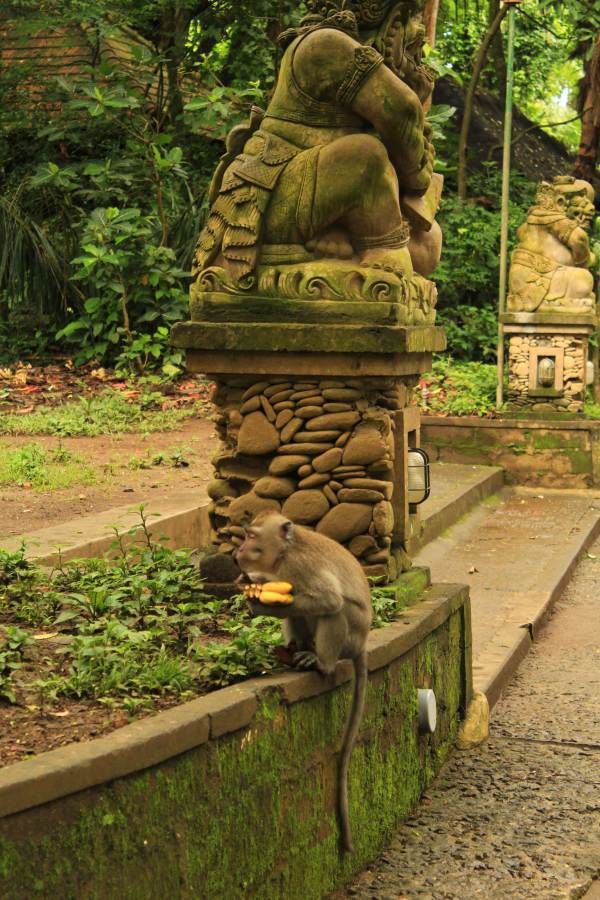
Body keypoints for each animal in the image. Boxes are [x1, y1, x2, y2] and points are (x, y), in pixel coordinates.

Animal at [235, 510, 372, 854]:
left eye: (252, 536)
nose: (239, 550)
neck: (285, 554)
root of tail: (363, 643)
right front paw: (253, 587)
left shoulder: (299, 567)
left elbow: (328, 600)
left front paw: (261, 601)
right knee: (297, 615)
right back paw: (291, 651)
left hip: (351, 636)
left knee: (335, 610)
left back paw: (321, 662)